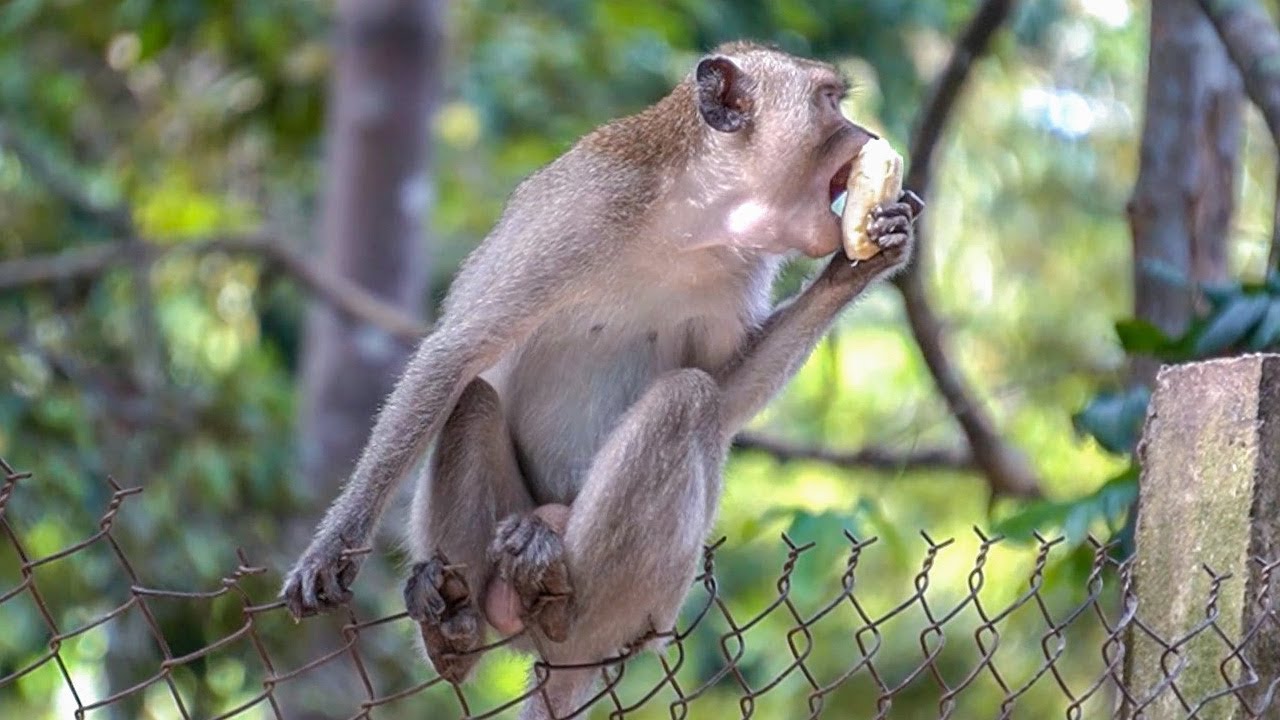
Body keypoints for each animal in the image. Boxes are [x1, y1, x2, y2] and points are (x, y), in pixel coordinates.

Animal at [283, 41, 922, 719]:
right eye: (829, 101)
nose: (868, 135)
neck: (691, 219)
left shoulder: (743, 268)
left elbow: (726, 396)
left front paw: (862, 264)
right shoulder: (587, 207)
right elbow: (455, 354)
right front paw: (334, 544)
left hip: (650, 609)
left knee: (685, 402)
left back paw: (553, 592)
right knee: (486, 402)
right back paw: (467, 625)